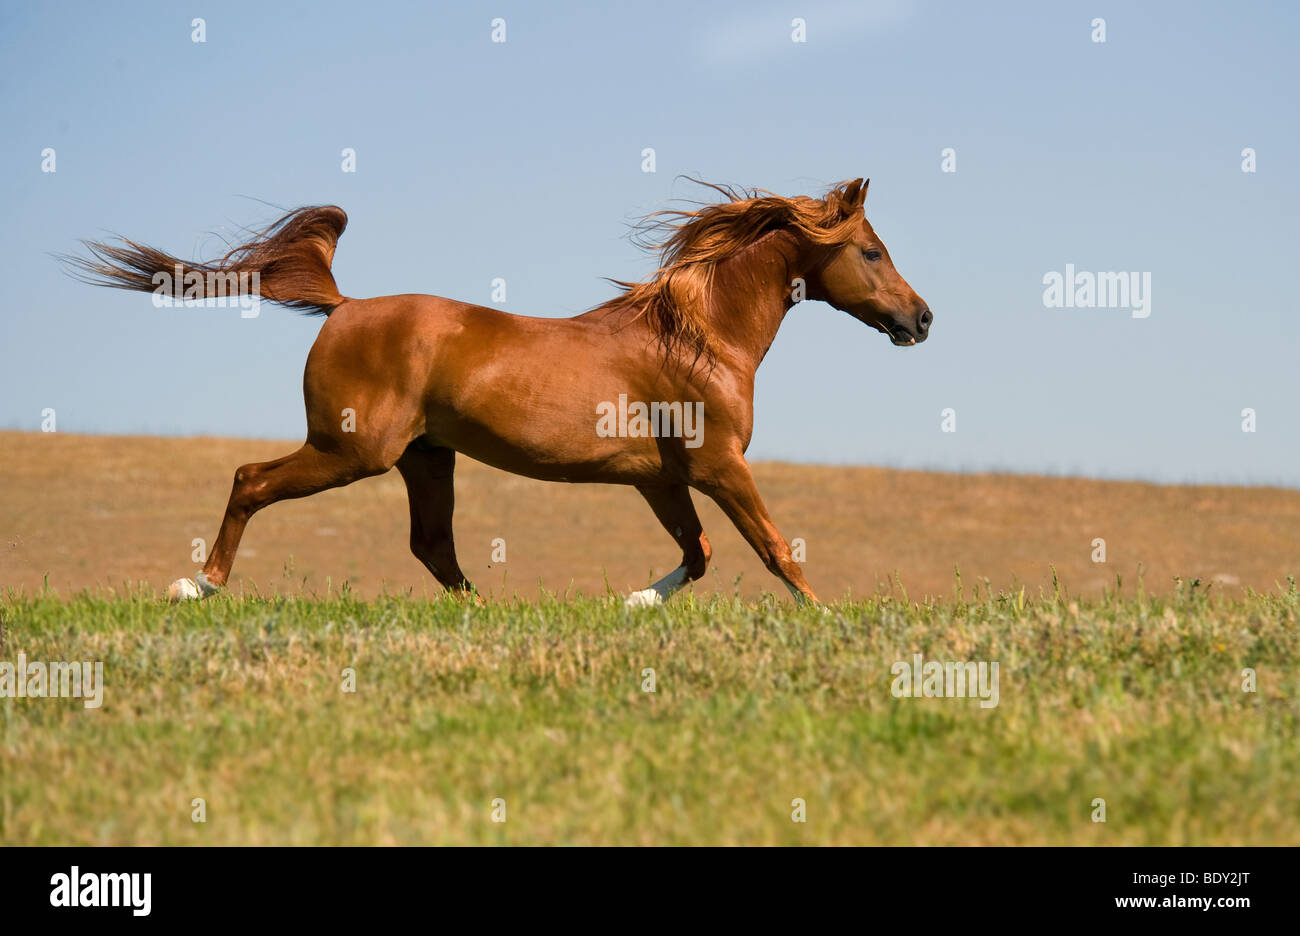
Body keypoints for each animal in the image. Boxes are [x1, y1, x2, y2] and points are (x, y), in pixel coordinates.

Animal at [66, 178, 930, 605]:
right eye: (872, 250)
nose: (921, 319)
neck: (700, 337)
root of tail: (344, 306)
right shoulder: (719, 465)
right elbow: (773, 548)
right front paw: (827, 621)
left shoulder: (661, 478)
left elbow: (702, 552)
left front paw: (633, 603)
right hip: (351, 449)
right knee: (251, 480)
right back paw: (197, 585)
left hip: (425, 457)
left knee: (432, 544)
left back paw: (484, 615)